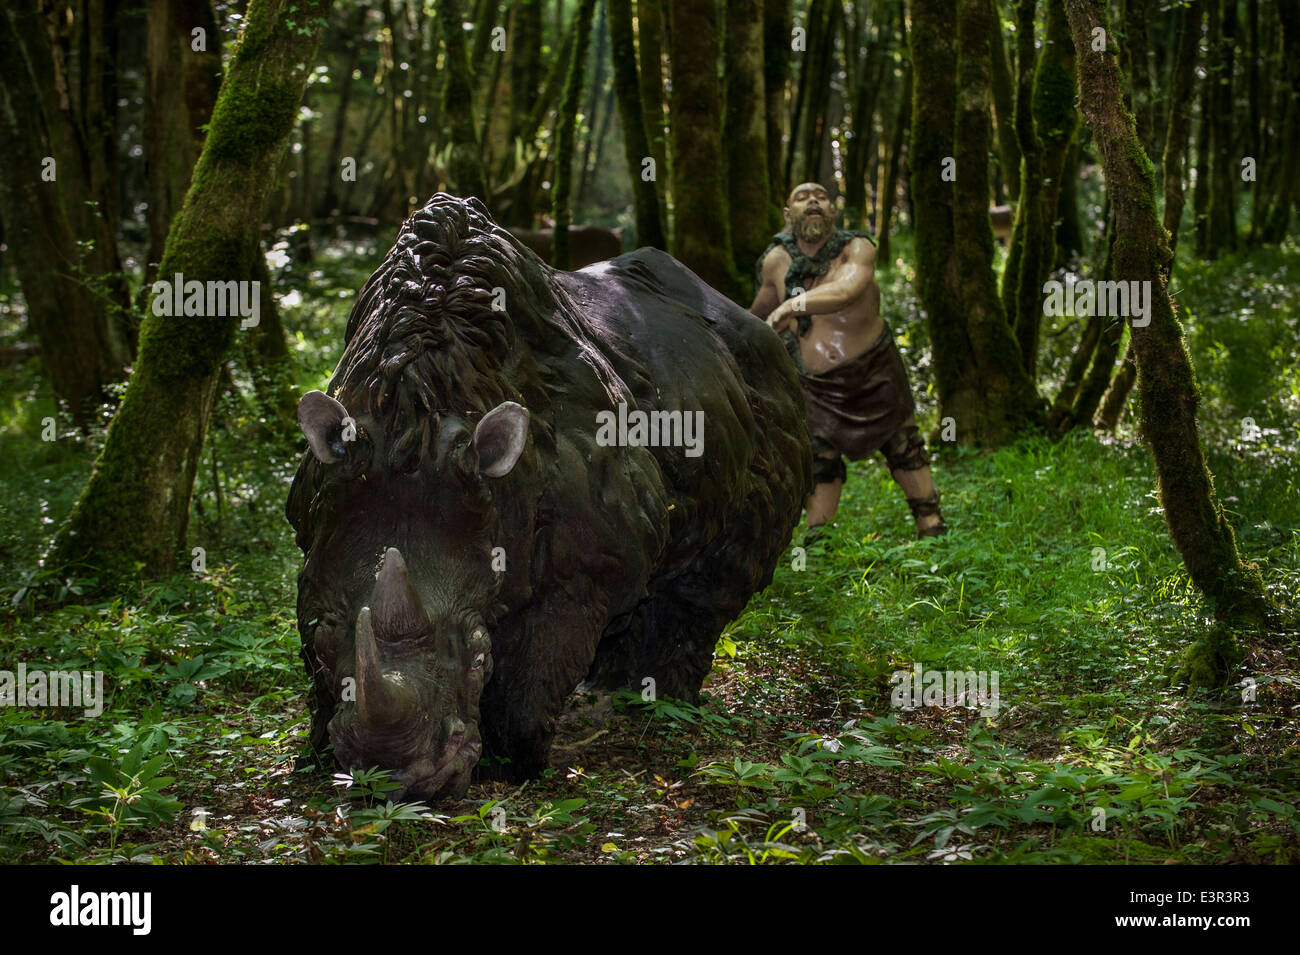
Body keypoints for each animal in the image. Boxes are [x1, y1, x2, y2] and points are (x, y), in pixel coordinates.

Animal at [286, 194, 811, 800]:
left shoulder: (586, 560)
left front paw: (514, 767)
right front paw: (319, 753)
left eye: (480, 653)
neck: (421, 408)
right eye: (323, 640)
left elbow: (540, 665)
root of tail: (748, 316)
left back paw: (652, 704)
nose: (396, 780)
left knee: (713, 578)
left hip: (771, 386)